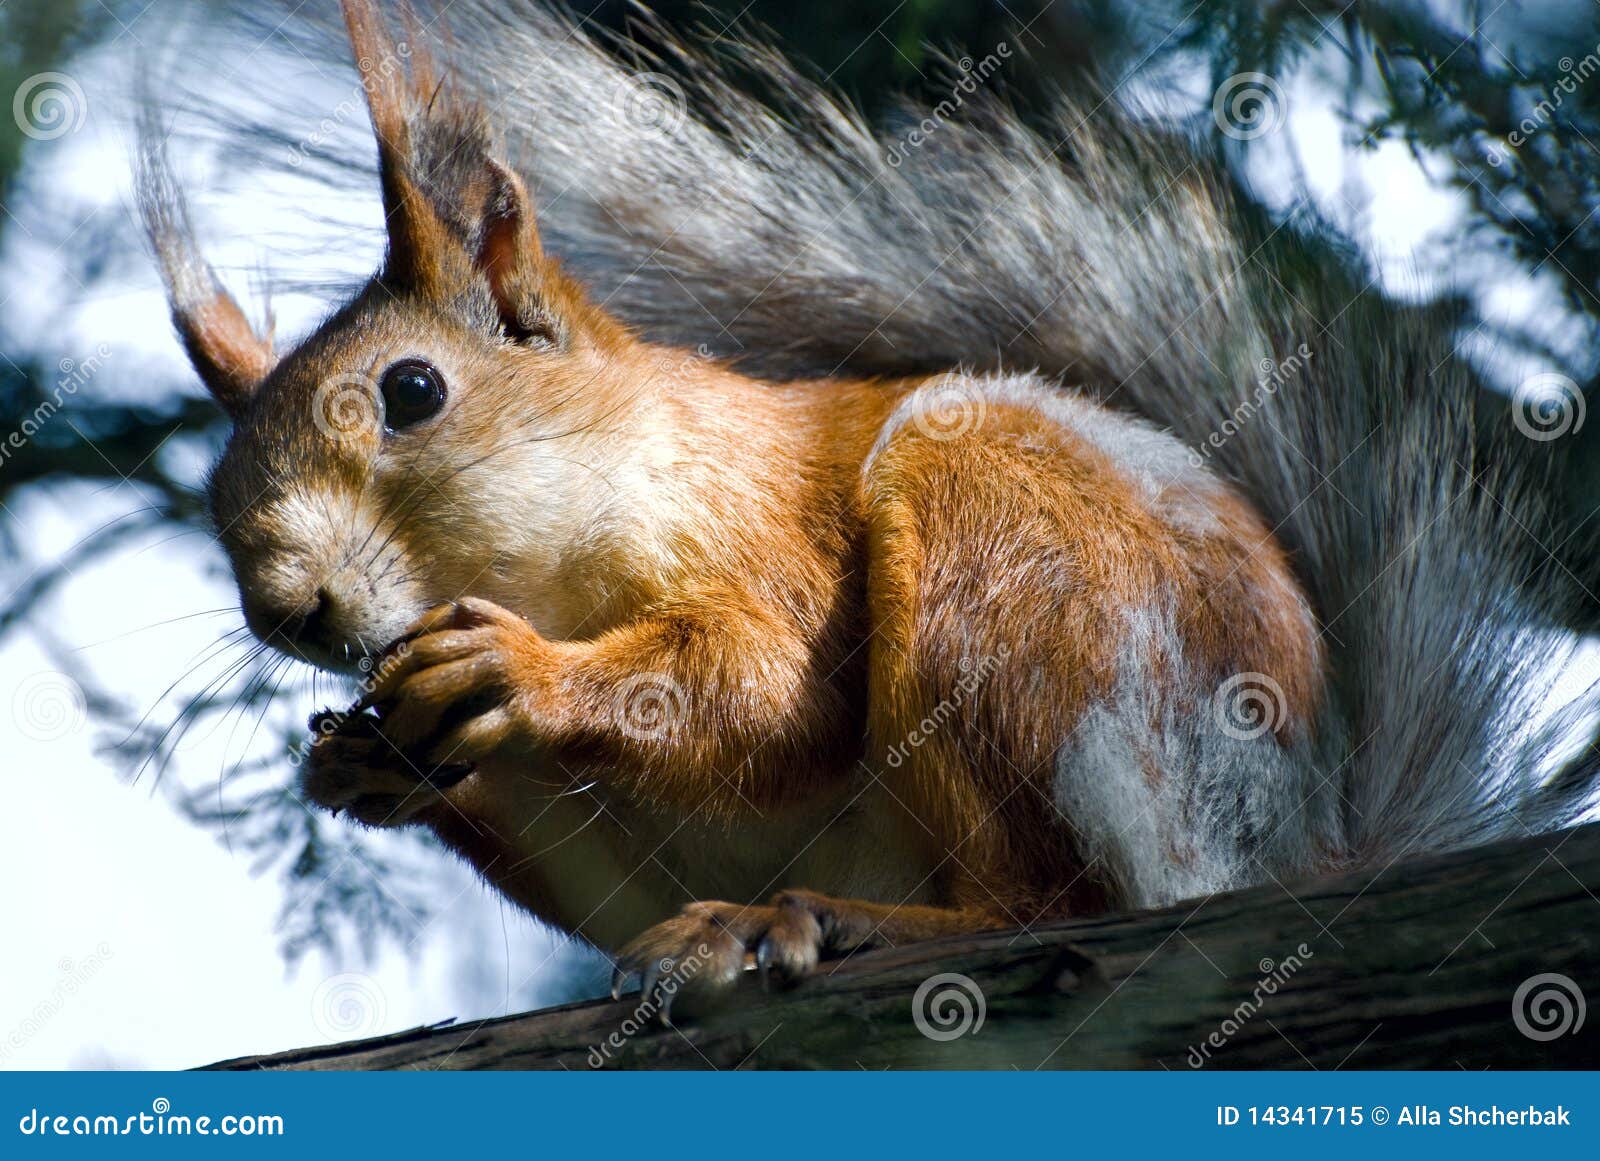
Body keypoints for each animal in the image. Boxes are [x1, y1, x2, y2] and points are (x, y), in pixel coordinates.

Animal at [140, 0, 1596, 1012]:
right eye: (215, 490)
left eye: (413, 389)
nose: (285, 606)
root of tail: (1290, 845)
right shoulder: (604, 834)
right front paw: (359, 761)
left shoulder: (763, 529)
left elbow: (781, 697)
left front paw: (523, 673)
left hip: (1013, 586)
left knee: (1048, 905)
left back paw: (828, 924)